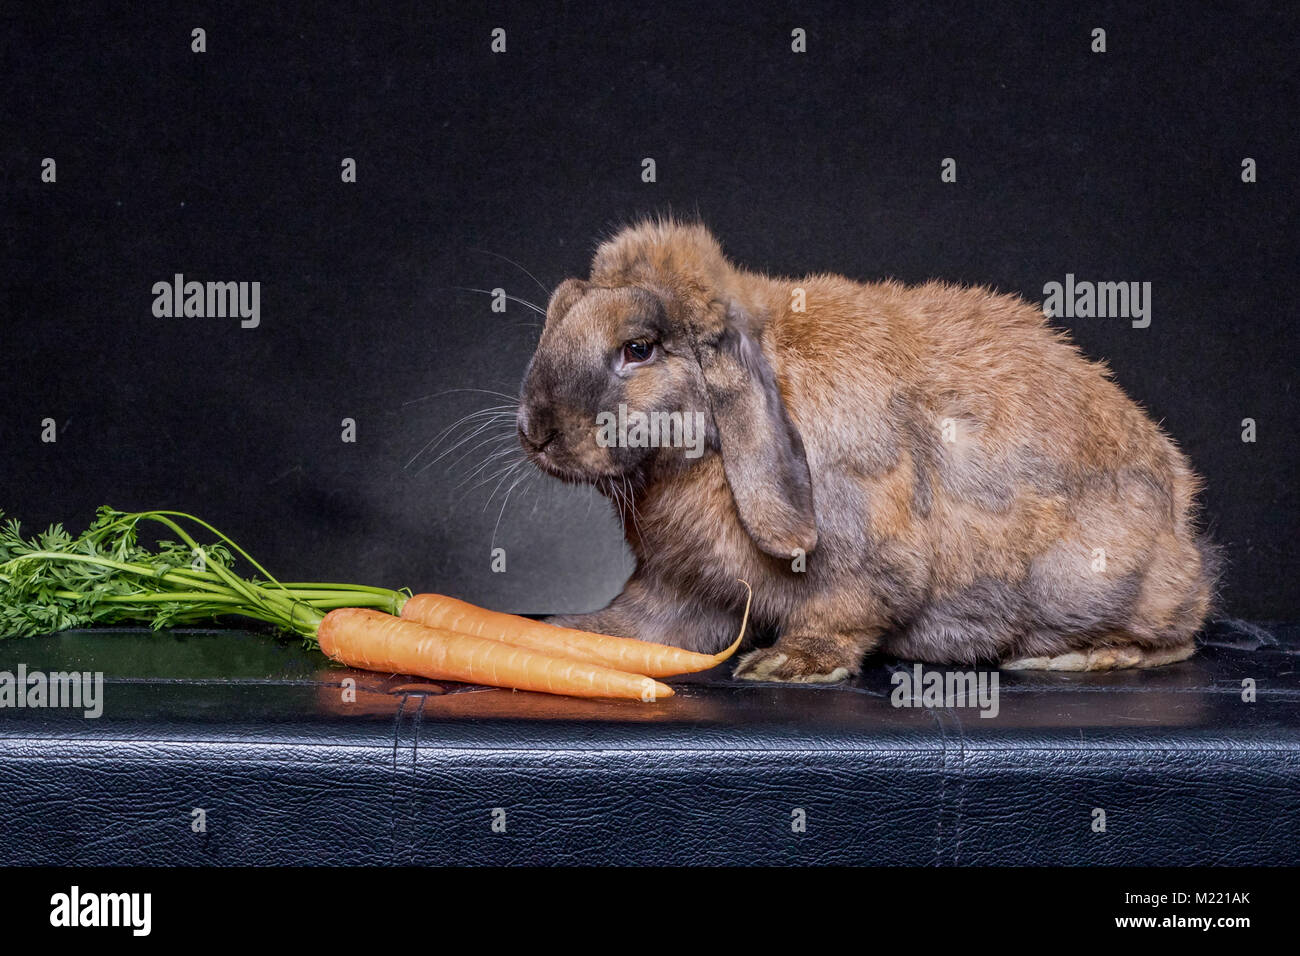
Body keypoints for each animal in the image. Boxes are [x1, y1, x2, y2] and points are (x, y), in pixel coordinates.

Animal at [514, 217, 1219, 681]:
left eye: (638, 348)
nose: (534, 430)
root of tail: (1182, 518)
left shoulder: (866, 559)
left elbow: (850, 611)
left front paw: (787, 665)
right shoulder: (681, 589)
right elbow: (645, 626)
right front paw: (562, 631)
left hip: (1099, 582)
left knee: (1181, 635)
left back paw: (1072, 657)